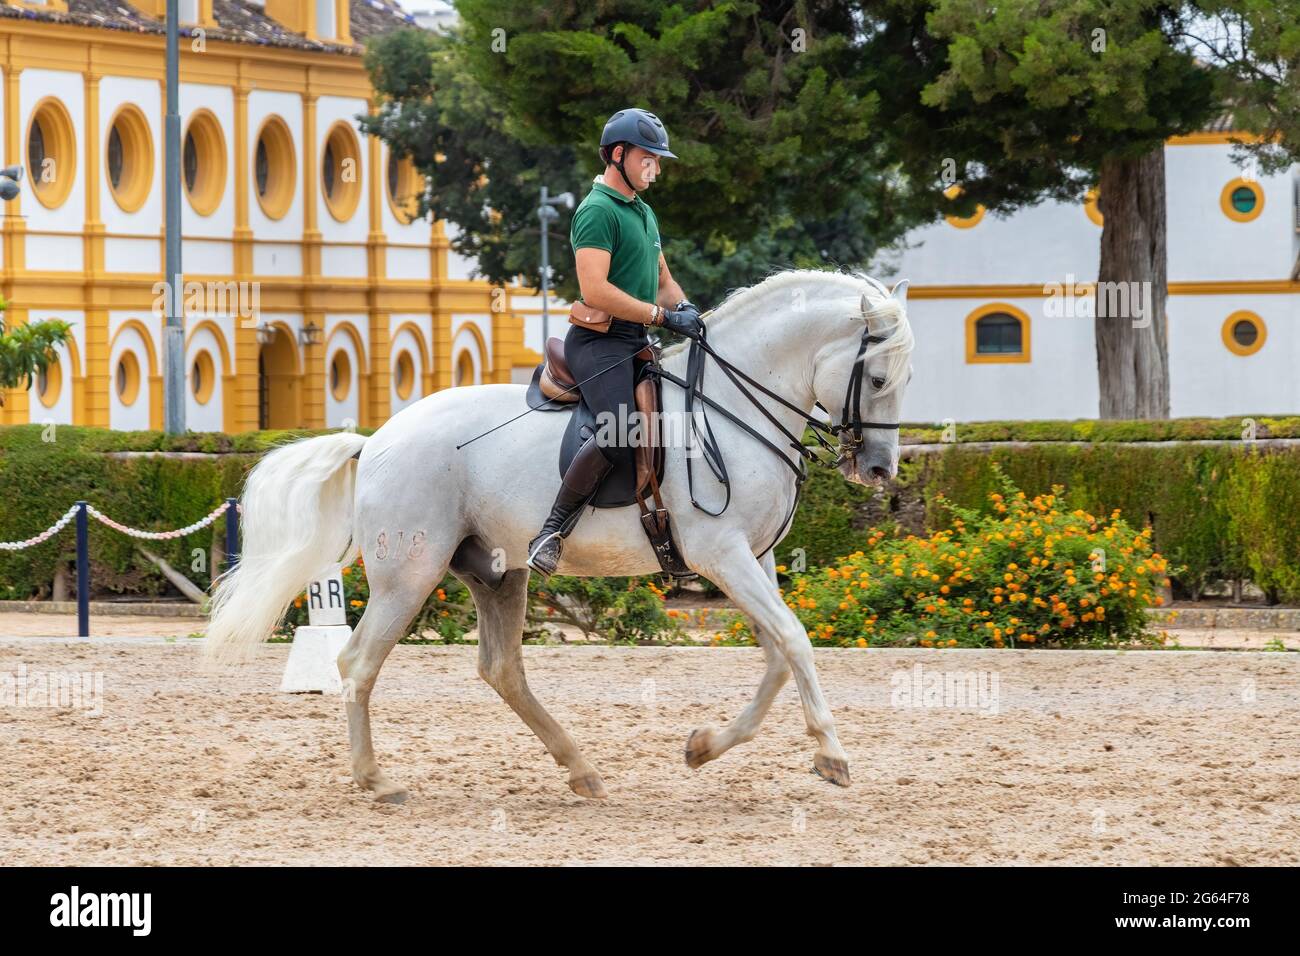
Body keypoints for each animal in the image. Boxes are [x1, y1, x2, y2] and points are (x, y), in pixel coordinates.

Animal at [204, 269, 915, 802]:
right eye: (878, 378)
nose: (881, 471)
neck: (732, 408)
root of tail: (376, 439)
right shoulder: (721, 555)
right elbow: (794, 640)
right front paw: (831, 754)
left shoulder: (754, 560)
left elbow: (776, 655)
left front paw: (704, 747)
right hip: (410, 573)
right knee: (358, 663)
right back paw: (376, 780)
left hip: (496, 572)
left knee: (502, 670)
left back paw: (582, 769)